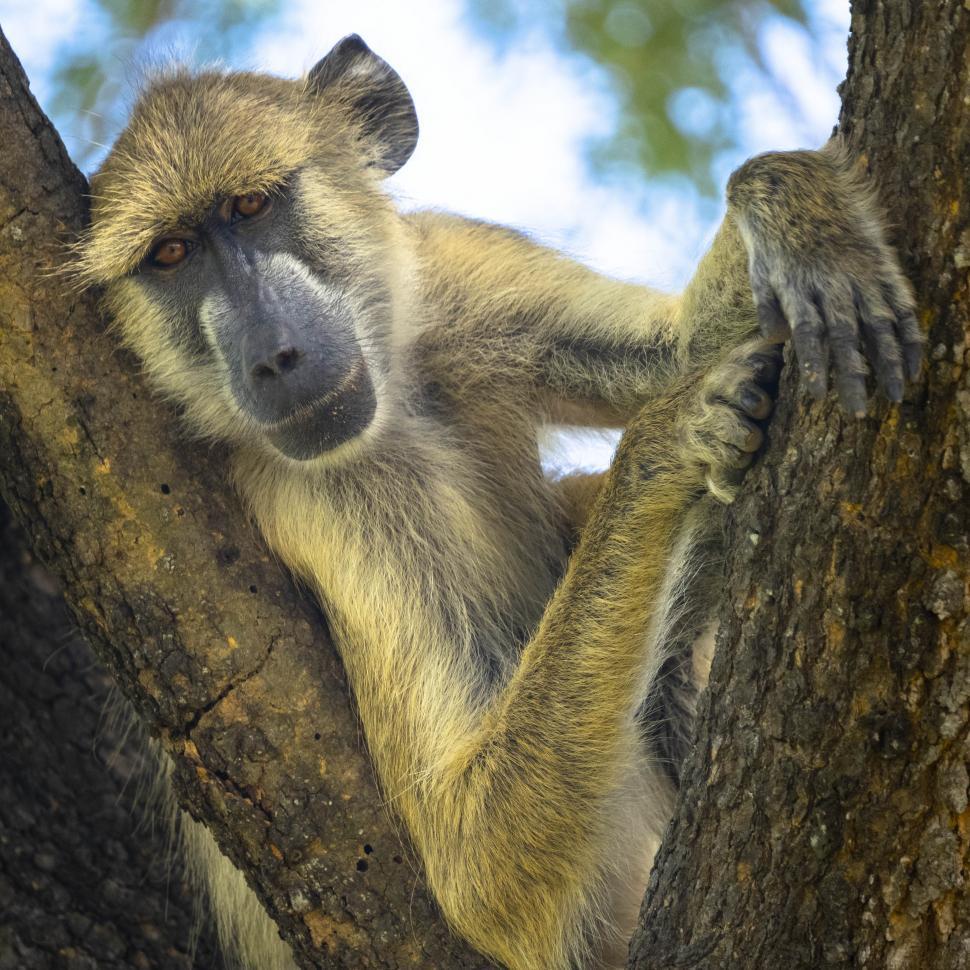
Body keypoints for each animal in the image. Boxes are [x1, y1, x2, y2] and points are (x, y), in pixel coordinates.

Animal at [75, 34, 921, 970]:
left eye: (252, 206)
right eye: (172, 256)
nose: (274, 357)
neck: (396, 408)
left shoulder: (453, 277)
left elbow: (681, 341)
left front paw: (792, 200)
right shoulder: (322, 505)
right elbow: (474, 863)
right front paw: (672, 434)